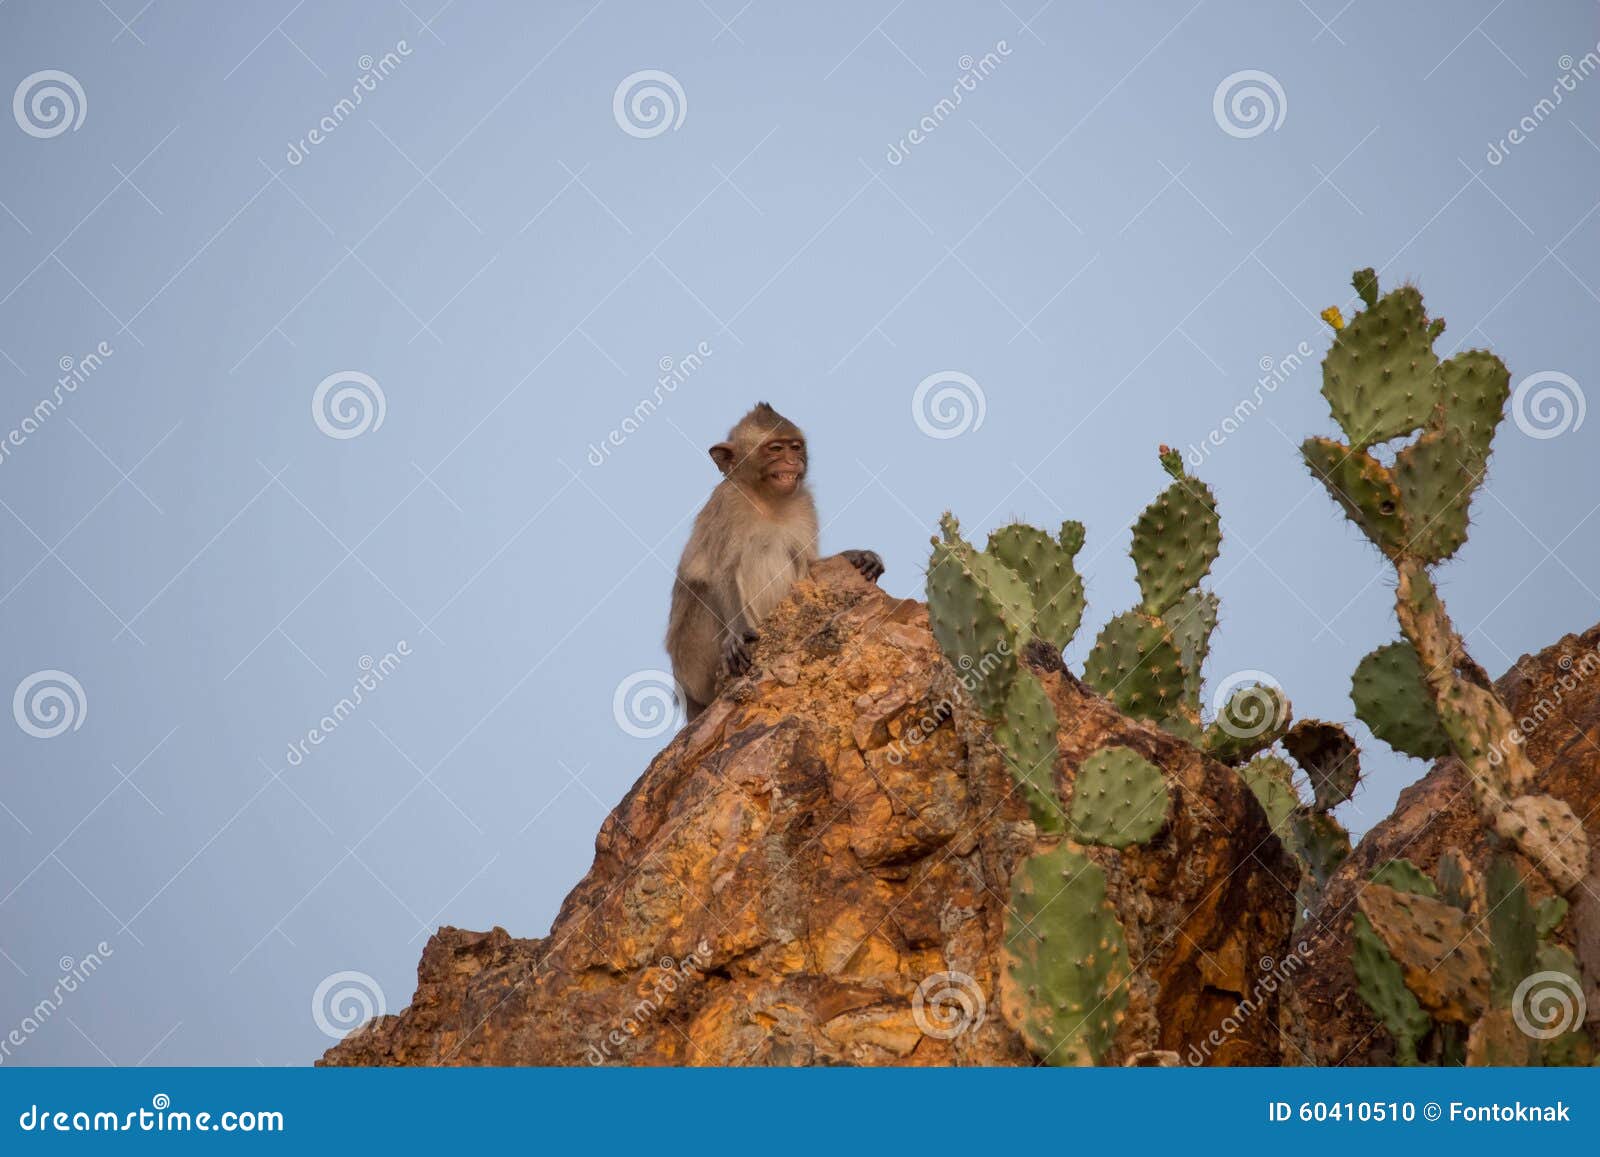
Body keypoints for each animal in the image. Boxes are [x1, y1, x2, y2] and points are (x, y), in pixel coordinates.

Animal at [666, 403, 885, 720]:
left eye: (796, 447)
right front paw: (736, 635)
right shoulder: (728, 503)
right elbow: (723, 573)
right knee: (703, 589)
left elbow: (807, 565)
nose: (793, 461)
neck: (766, 500)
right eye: (776, 449)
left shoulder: (803, 503)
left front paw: (857, 556)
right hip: (694, 664)